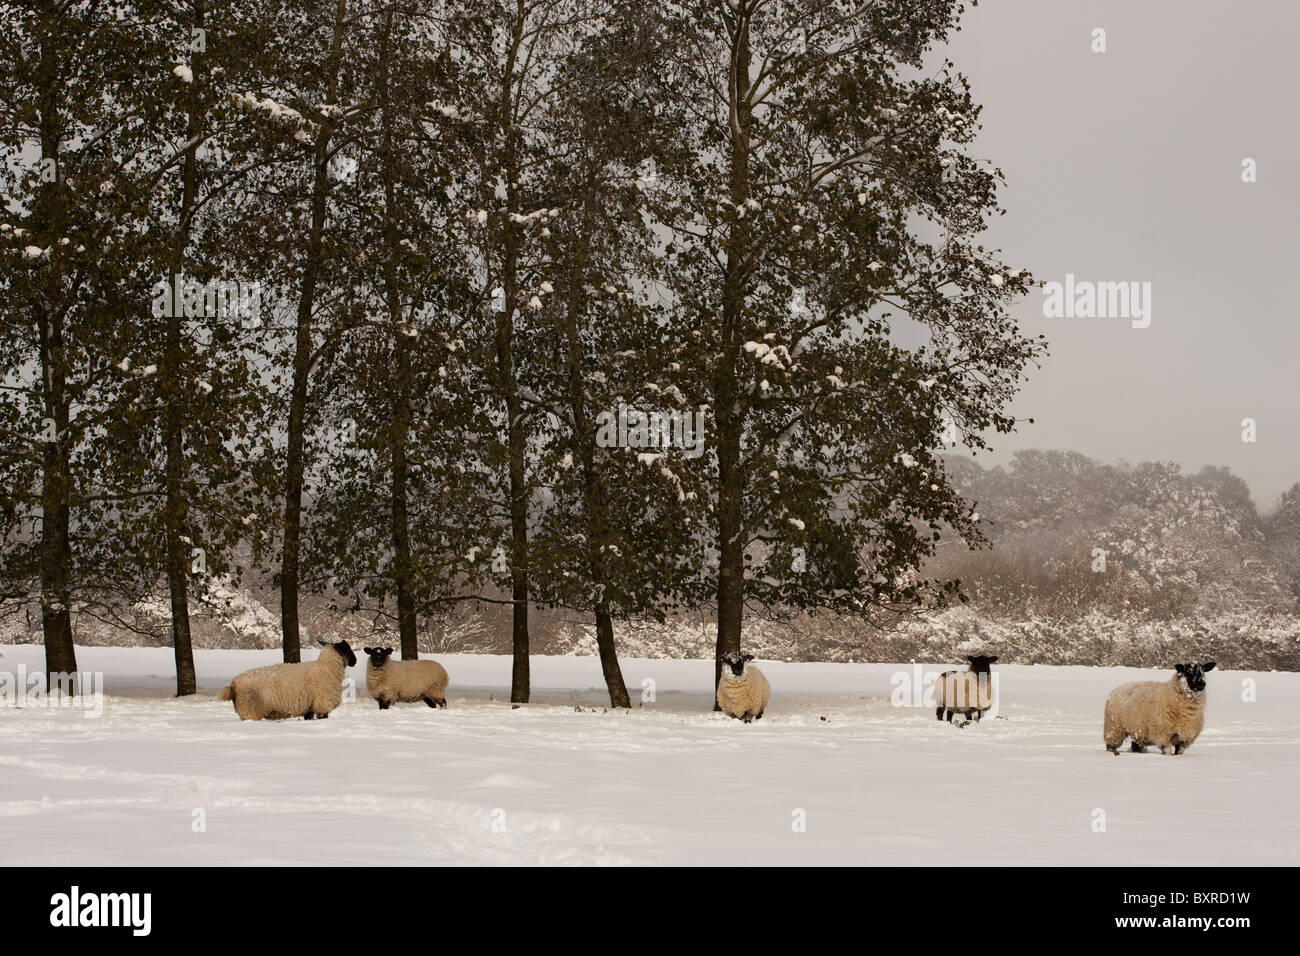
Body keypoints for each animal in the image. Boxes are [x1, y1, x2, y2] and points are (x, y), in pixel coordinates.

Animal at [216, 640, 357, 721]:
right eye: (348, 649)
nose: (355, 661)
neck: (328, 667)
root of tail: (233, 685)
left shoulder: (309, 708)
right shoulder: (322, 704)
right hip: (250, 710)